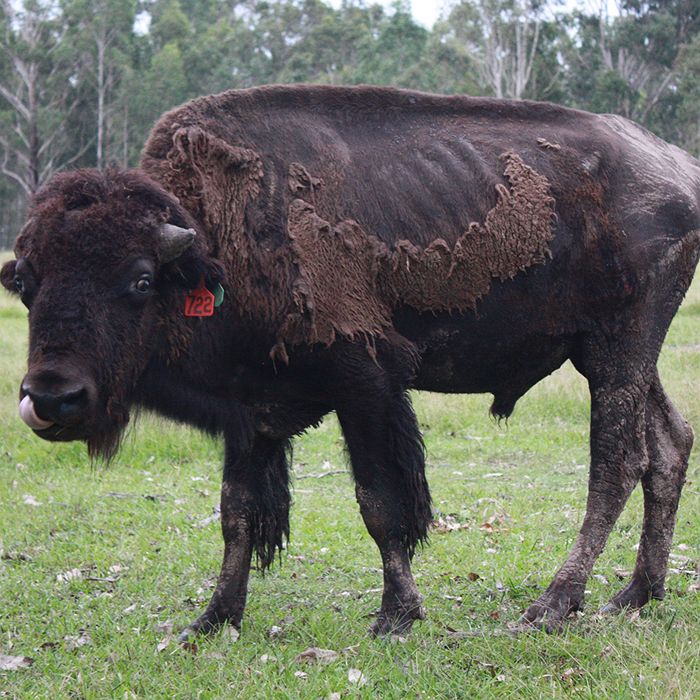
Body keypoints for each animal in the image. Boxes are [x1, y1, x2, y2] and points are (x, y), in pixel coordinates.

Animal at [2, 85, 699, 641]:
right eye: (26, 284)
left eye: (141, 280)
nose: (53, 397)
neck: (213, 246)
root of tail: (681, 170)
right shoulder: (250, 411)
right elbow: (237, 512)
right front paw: (212, 619)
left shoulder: (364, 385)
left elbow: (380, 503)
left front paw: (396, 615)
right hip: (615, 357)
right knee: (669, 444)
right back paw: (635, 595)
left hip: (617, 351)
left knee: (616, 463)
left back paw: (554, 604)